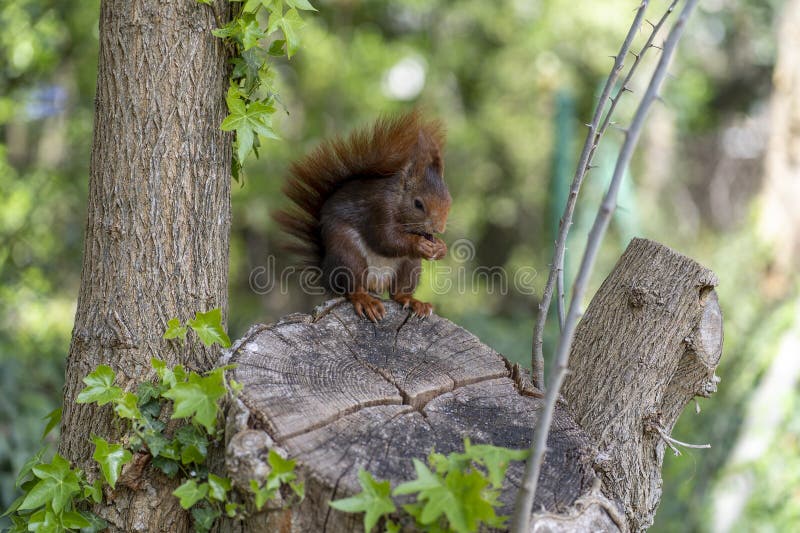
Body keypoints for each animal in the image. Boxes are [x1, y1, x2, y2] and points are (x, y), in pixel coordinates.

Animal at [275, 110, 451, 322]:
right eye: (418, 204)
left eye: (449, 200)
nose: (439, 228)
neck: (397, 199)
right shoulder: (378, 209)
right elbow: (385, 239)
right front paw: (418, 244)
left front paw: (440, 248)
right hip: (347, 254)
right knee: (353, 286)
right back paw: (366, 301)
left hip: (409, 265)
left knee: (398, 292)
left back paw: (415, 302)